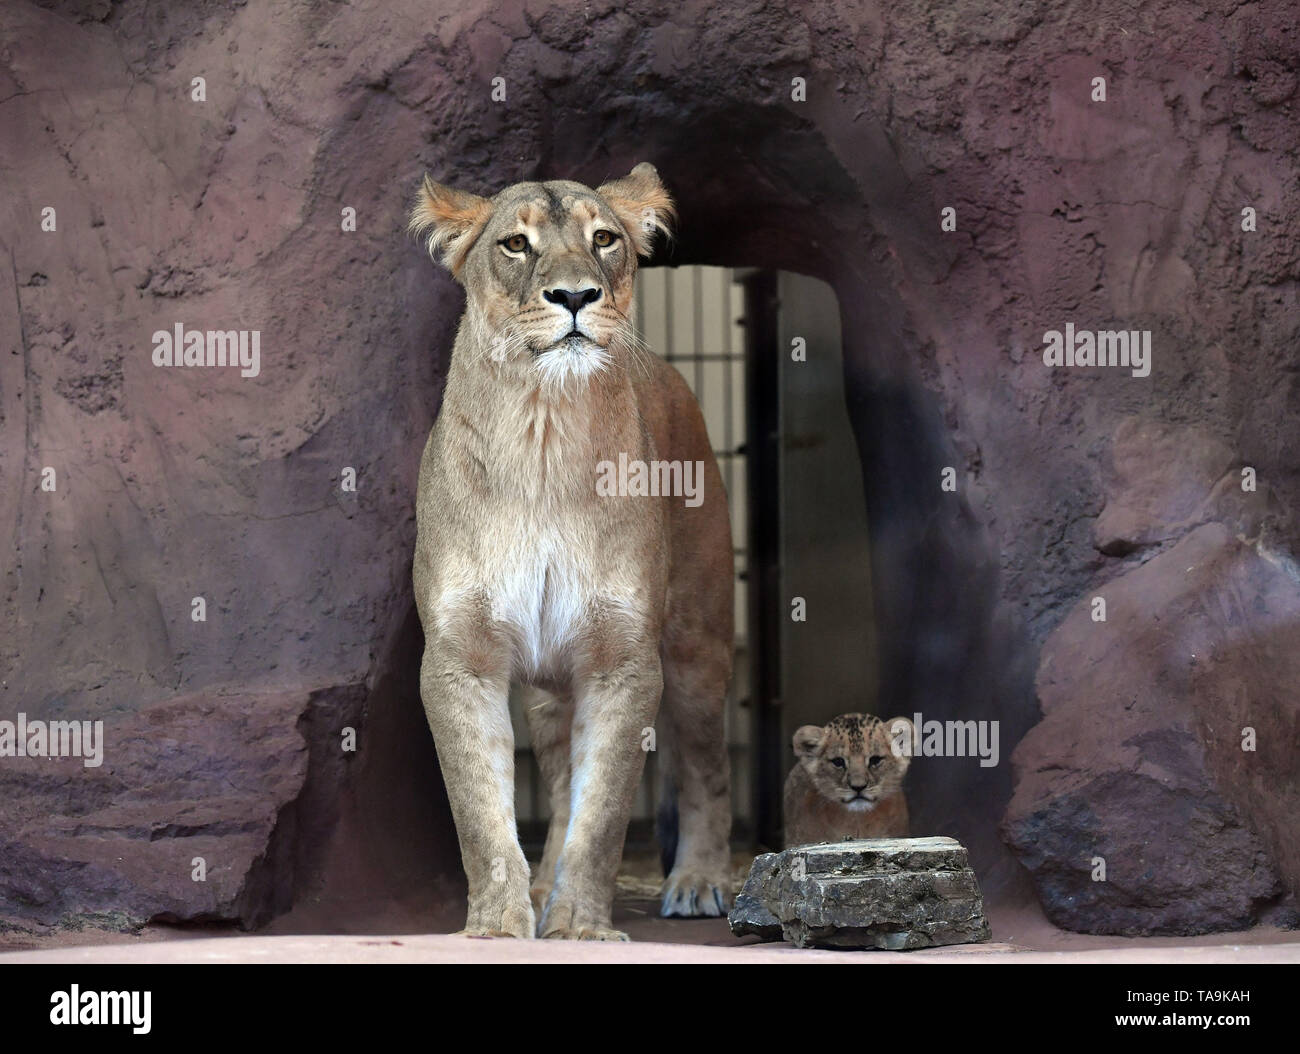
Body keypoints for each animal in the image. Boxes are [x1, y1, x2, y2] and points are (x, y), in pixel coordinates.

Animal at [408, 163, 734, 940]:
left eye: (605, 239)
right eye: (515, 244)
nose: (577, 295)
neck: (544, 435)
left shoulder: (625, 662)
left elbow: (604, 813)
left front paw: (581, 926)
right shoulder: (459, 657)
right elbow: (482, 812)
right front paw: (499, 925)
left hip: (697, 647)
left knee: (707, 768)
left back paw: (700, 880)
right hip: (551, 689)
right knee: (556, 784)